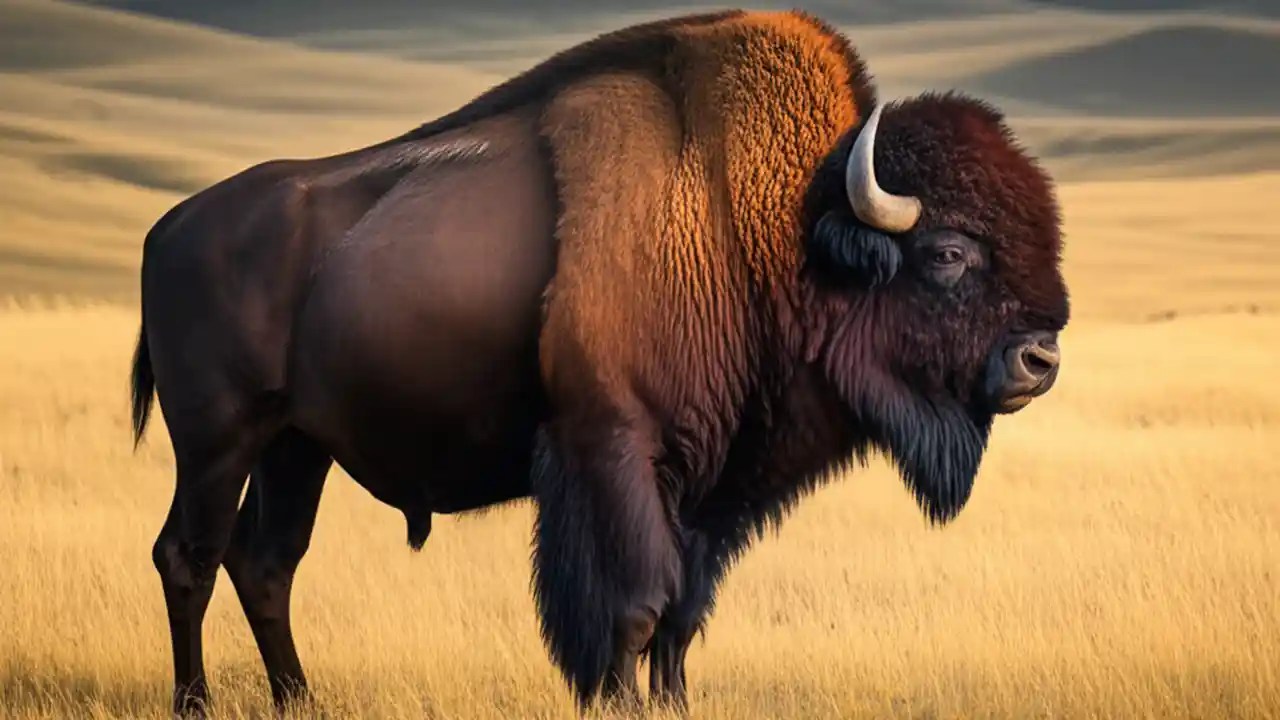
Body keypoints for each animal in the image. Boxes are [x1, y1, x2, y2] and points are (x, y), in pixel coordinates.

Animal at [129, 9, 1068, 716]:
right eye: (948, 252)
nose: (1040, 359)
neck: (766, 233)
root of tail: (170, 229)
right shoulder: (614, 452)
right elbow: (634, 608)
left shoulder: (709, 488)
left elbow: (682, 616)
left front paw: (675, 704)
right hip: (216, 442)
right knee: (189, 557)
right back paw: (196, 705)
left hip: (298, 447)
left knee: (266, 564)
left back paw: (300, 699)